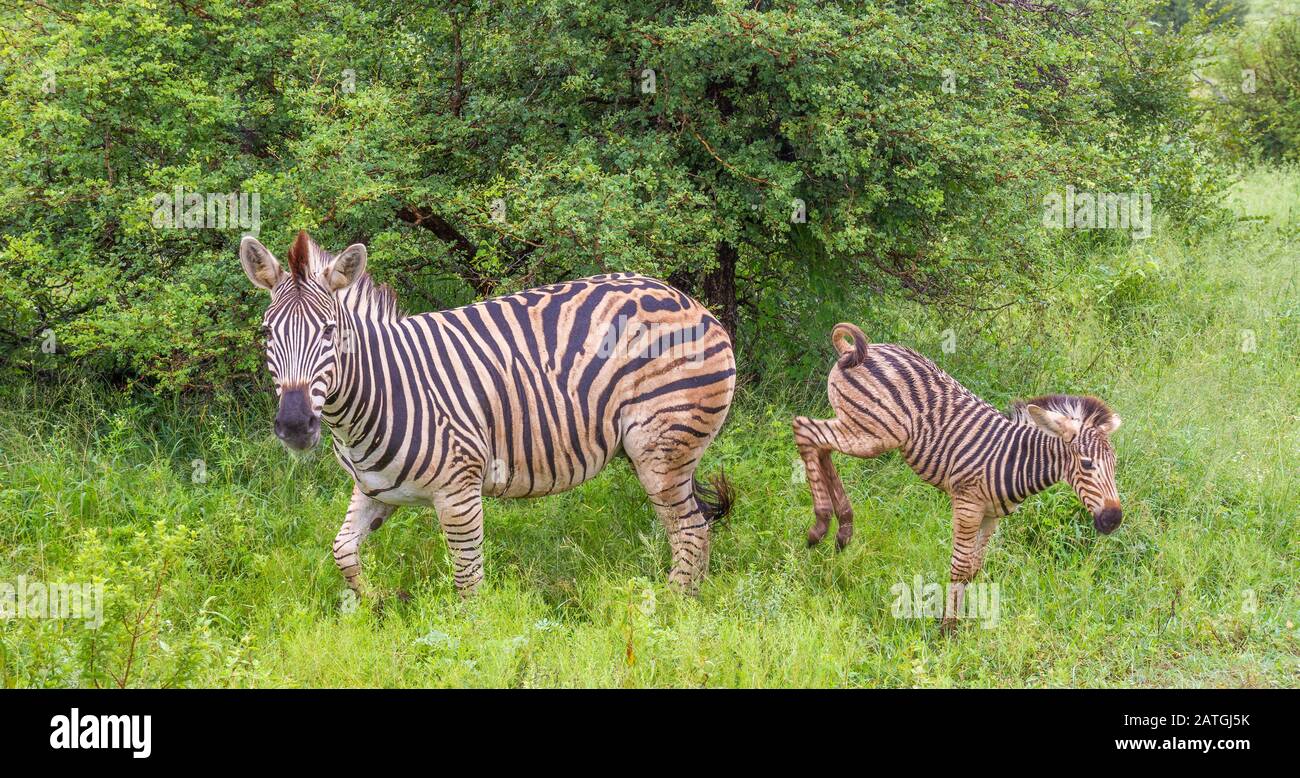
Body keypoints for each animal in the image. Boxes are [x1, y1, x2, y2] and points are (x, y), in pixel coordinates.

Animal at [239, 230, 736, 599]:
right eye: (266, 332)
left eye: (329, 331)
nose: (295, 426)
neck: (378, 393)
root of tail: (688, 301)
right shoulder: (374, 490)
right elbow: (343, 552)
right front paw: (376, 602)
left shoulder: (458, 491)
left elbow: (468, 584)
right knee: (696, 533)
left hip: (661, 449)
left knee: (691, 533)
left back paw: (668, 614)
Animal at [793, 322, 1122, 628]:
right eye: (1087, 464)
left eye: (1114, 465)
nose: (1113, 520)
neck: (1015, 460)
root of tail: (853, 349)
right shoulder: (968, 505)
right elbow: (960, 568)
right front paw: (946, 631)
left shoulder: (991, 516)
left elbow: (974, 568)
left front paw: (960, 625)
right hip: (874, 433)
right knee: (805, 429)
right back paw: (820, 525)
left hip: (860, 428)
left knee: (822, 445)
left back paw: (844, 528)